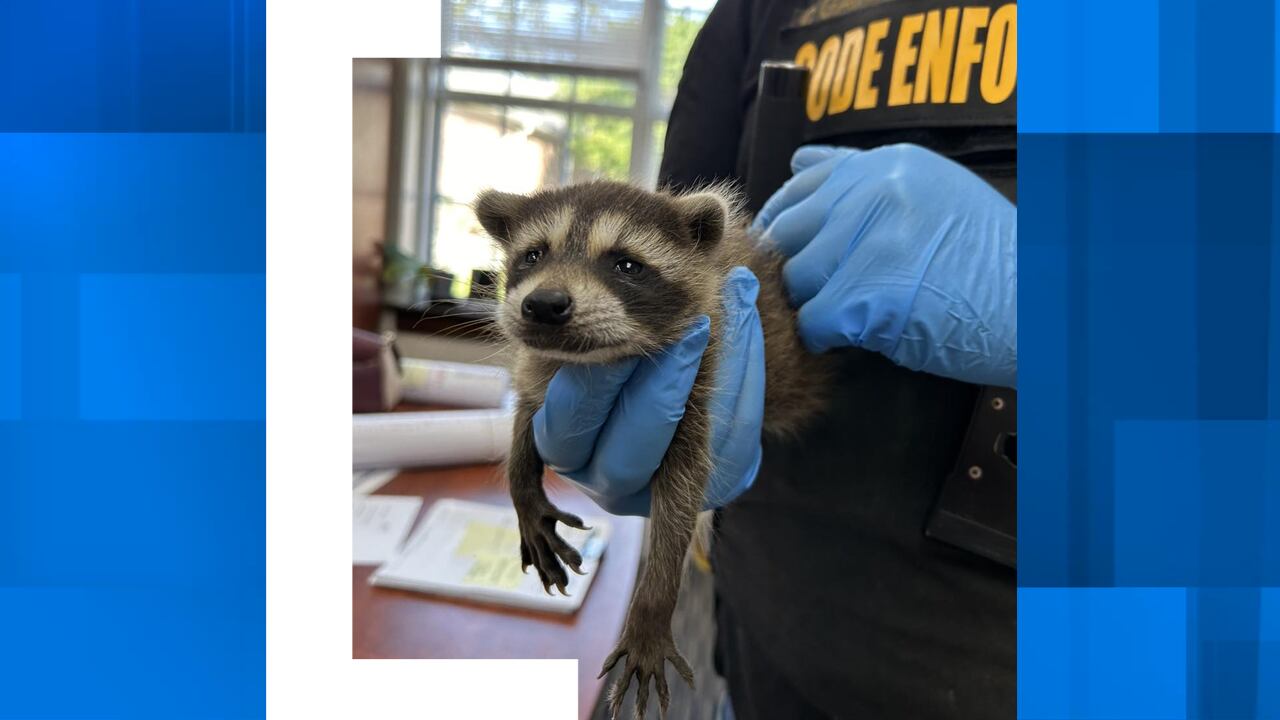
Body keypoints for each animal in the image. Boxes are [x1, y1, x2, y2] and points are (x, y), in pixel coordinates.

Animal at [474, 180, 831, 719]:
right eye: (533, 255)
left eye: (626, 264)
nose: (544, 304)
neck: (596, 363)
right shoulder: (540, 369)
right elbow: (525, 421)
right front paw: (524, 492)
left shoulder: (700, 382)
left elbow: (681, 500)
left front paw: (652, 605)